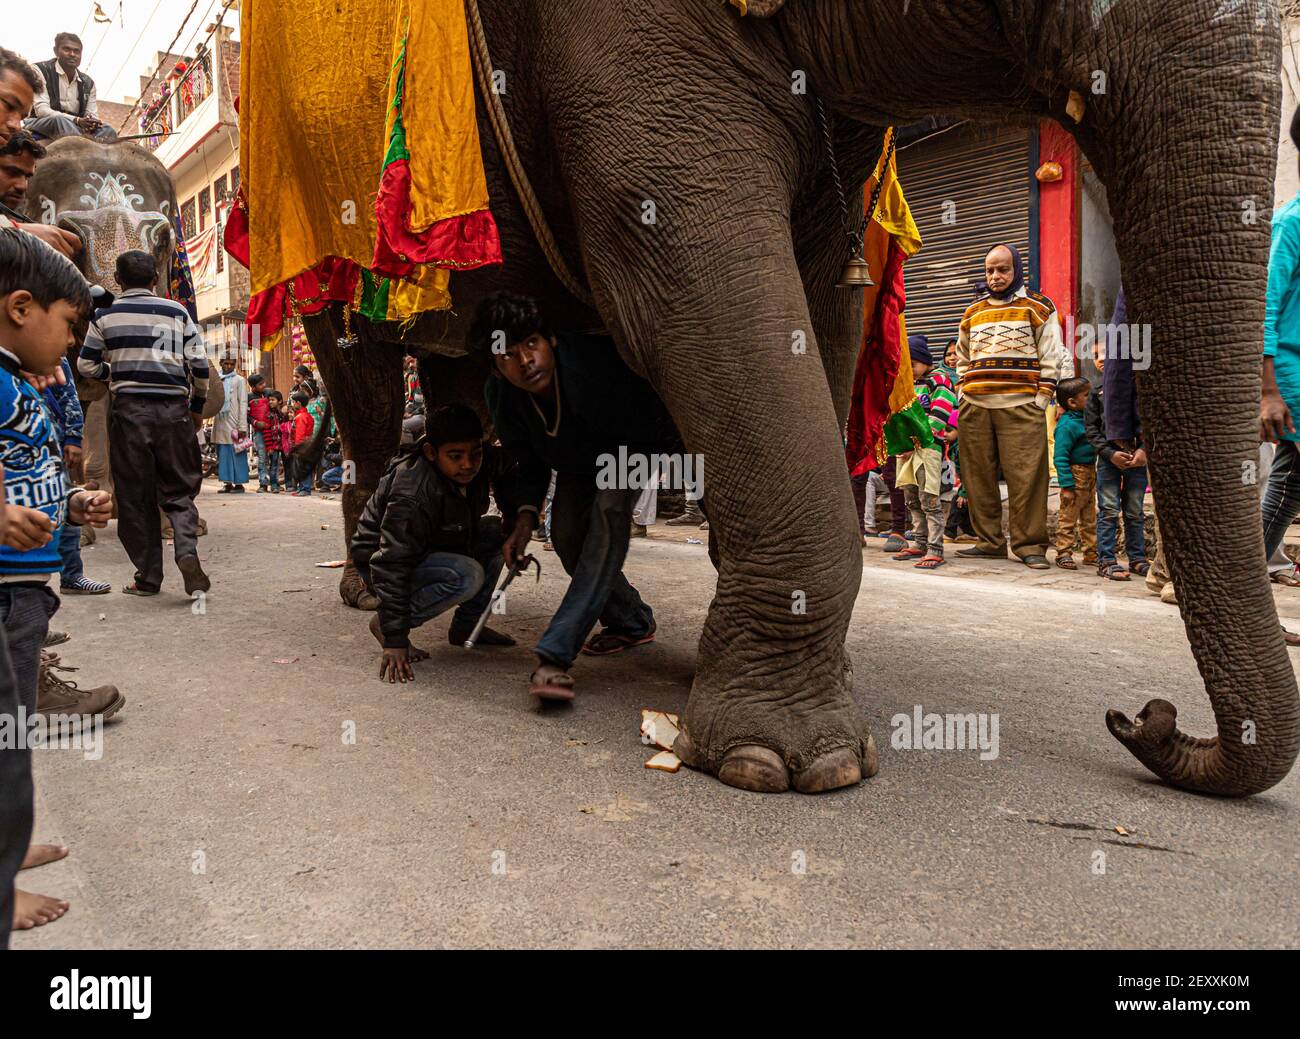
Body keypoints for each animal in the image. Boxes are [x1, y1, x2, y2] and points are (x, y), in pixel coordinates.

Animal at [293, 0, 1297, 797]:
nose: (1148, 715)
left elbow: (826, 302)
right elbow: (689, 284)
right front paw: (784, 761)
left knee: (462, 375)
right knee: (368, 366)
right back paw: (370, 582)